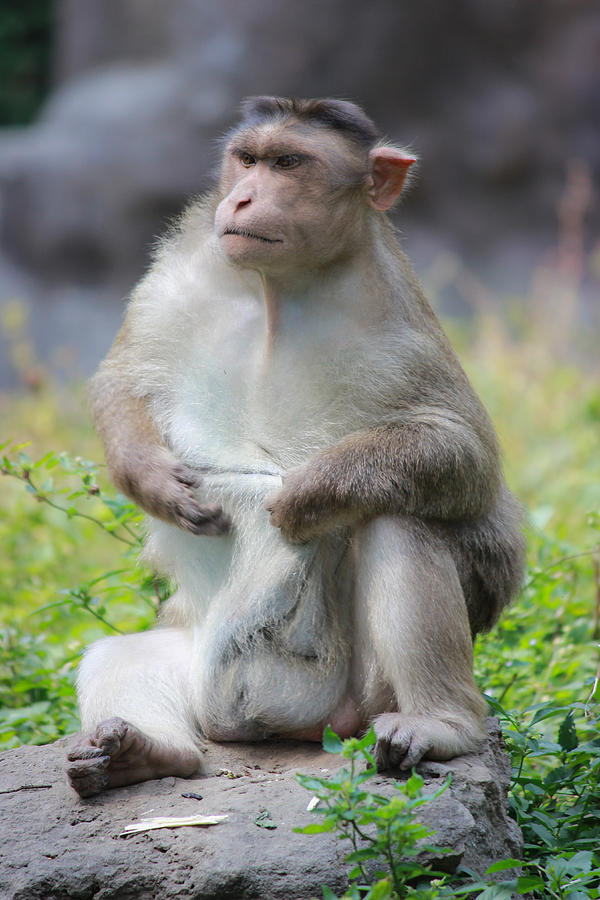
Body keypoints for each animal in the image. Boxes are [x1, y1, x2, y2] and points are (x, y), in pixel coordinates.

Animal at [66, 97, 525, 798]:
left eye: (288, 163)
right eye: (247, 159)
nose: (244, 198)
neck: (277, 291)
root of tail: (304, 726)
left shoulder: (393, 322)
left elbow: (463, 456)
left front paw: (304, 496)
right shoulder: (184, 269)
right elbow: (122, 375)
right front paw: (156, 481)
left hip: (366, 690)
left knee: (397, 519)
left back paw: (440, 722)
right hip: (200, 666)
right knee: (123, 654)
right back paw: (145, 753)